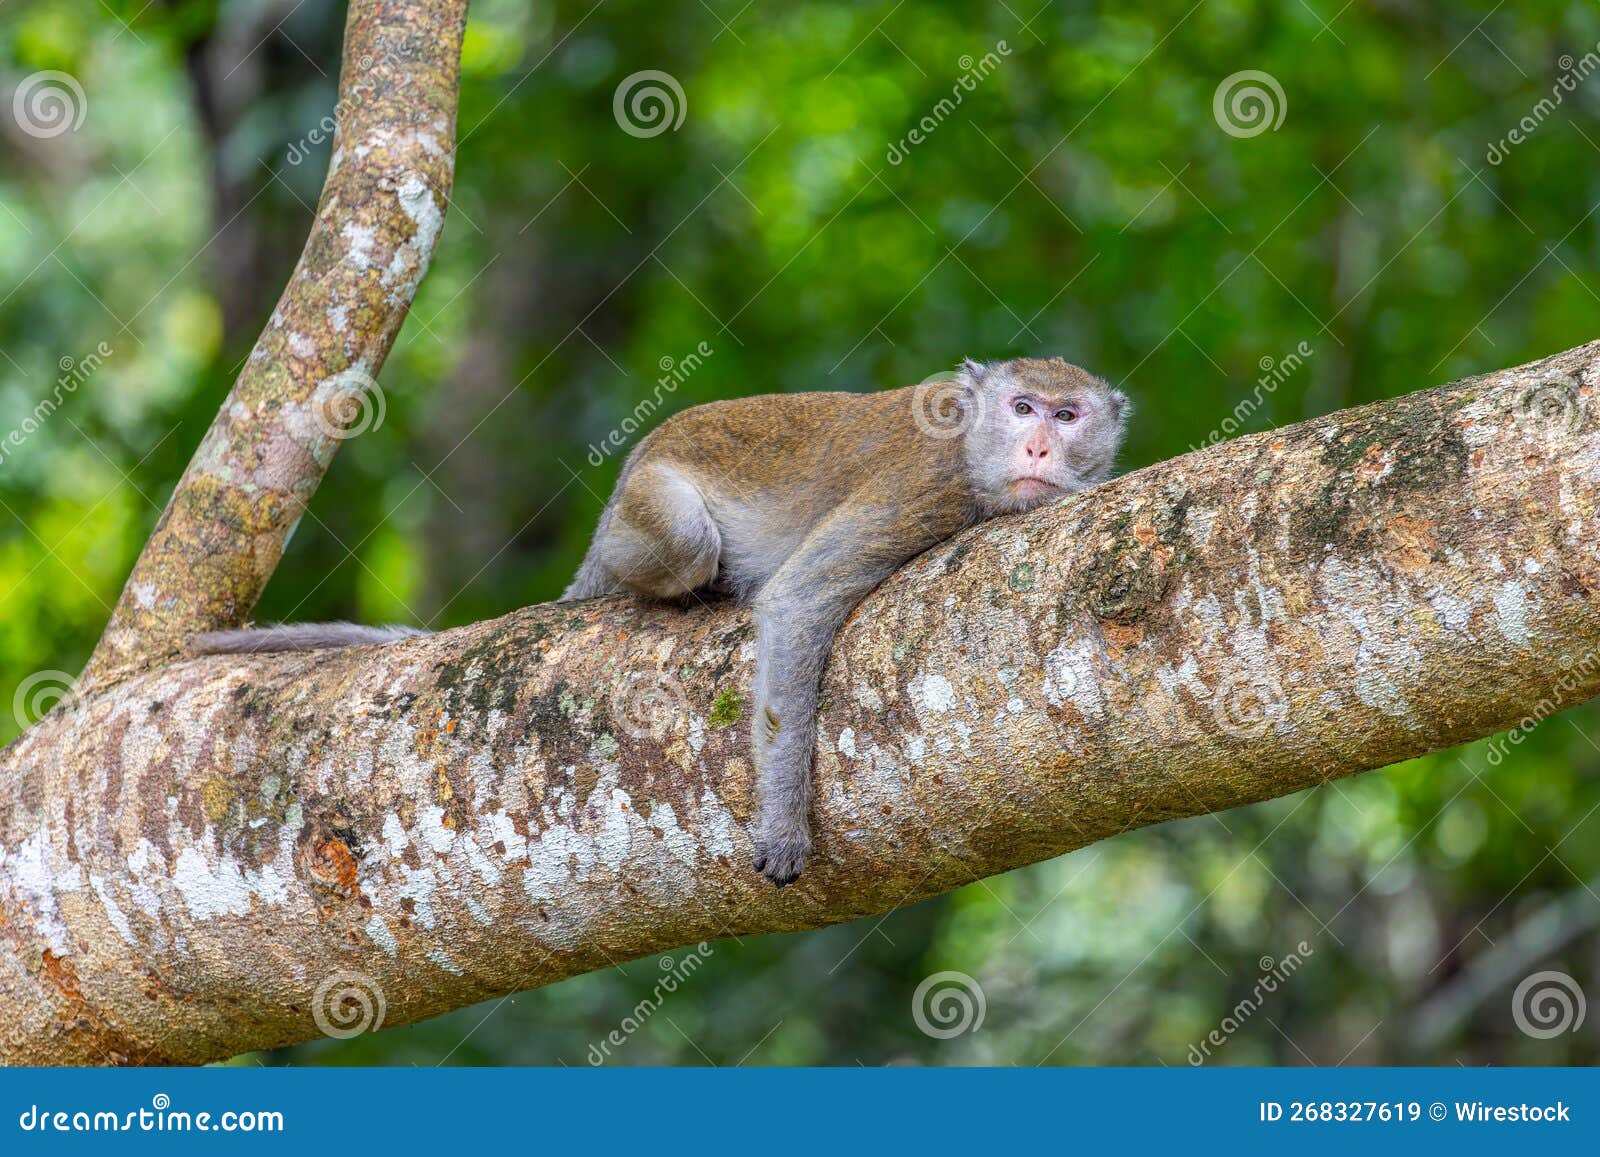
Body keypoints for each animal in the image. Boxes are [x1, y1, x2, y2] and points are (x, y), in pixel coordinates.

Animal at [192, 357, 1130, 888]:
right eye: (1023, 409)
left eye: (1067, 414)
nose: (1039, 448)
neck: (974, 453)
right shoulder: (926, 491)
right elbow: (797, 602)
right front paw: (784, 826)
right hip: (642, 518)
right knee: (685, 547)